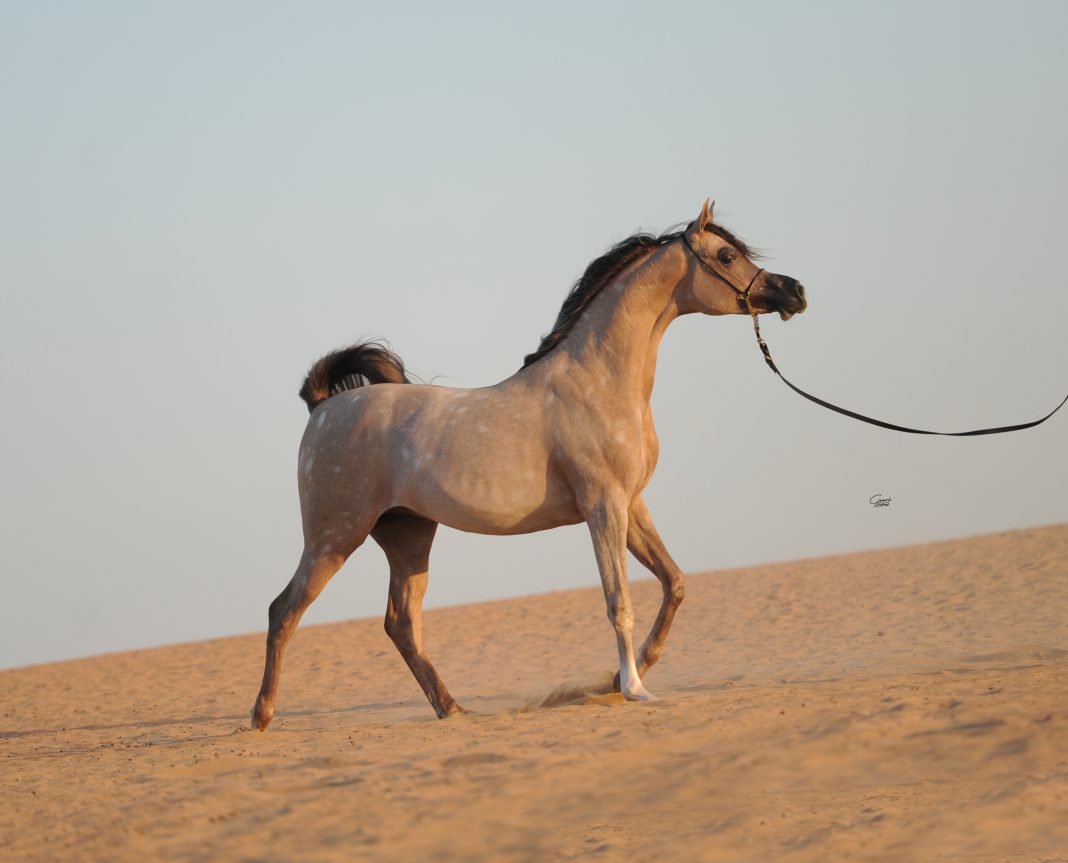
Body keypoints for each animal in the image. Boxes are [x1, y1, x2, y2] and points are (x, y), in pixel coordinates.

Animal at [251, 200, 807, 730]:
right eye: (727, 256)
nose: (794, 292)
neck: (599, 379)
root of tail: (322, 407)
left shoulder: (631, 505)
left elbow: (674, 583)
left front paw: (625, 676)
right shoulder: (603, 507)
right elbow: (618, 601)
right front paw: (633, 688)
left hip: (408, 537)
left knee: (401, 623)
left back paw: (453, 709)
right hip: (335, 536)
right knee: (285, 610)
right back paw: (262, 716)